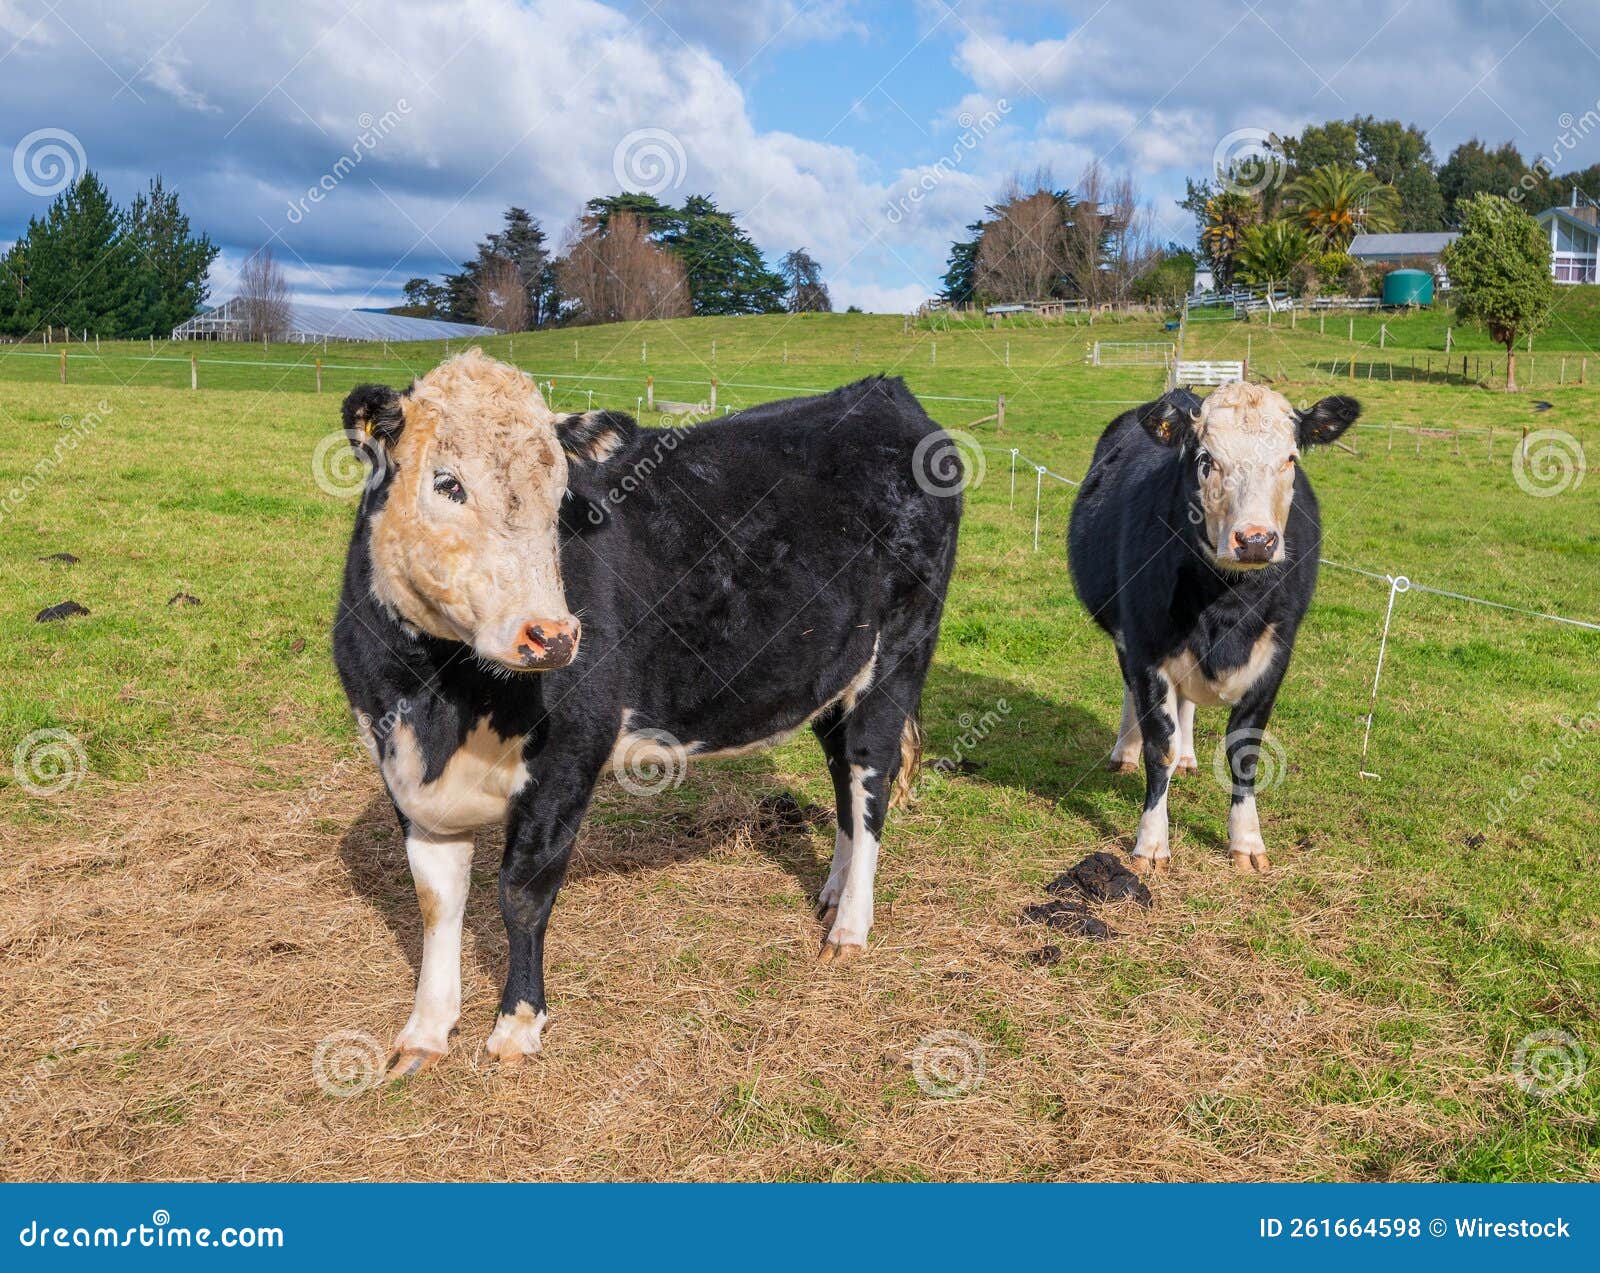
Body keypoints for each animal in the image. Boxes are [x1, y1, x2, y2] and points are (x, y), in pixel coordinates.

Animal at [332, 351, 961, 1078]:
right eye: (446, 482)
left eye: (560, 497)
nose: (553, 636)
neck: (438, 699)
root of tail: (883, 392)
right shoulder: (401, 766)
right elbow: (437, 904)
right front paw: (426, 1030)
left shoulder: (568, 755)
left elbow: (522, 894)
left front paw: (518, 1023)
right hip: (832, 675)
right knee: (843, 779)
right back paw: (831, 894)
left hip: (898, 659)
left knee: (869, 776)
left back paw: (850, 926)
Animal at [1067, 381, 1359, 876]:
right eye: (1206, 459)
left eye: (1290, 458)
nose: (1256, 540)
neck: (1225, 605)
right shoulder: (1147, 648)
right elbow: (1158, 747)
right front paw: (1151, 844)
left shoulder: (1275, 657)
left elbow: (1245, 752)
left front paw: (1247, 841)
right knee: (1132, 694)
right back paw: (1125, 749)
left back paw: (1188, 756)